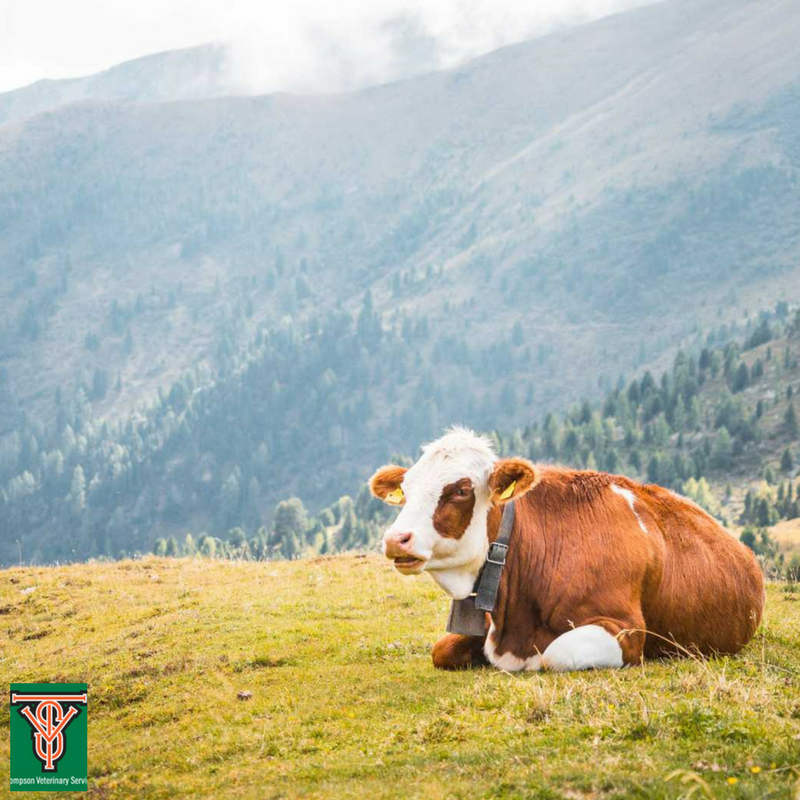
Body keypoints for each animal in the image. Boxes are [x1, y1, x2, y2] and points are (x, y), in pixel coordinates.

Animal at [369, 427, 765, 672]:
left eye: (461, 490)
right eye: (406, 488)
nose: (396, 539)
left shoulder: (628, 630)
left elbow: (554, 654)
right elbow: (442, 649)